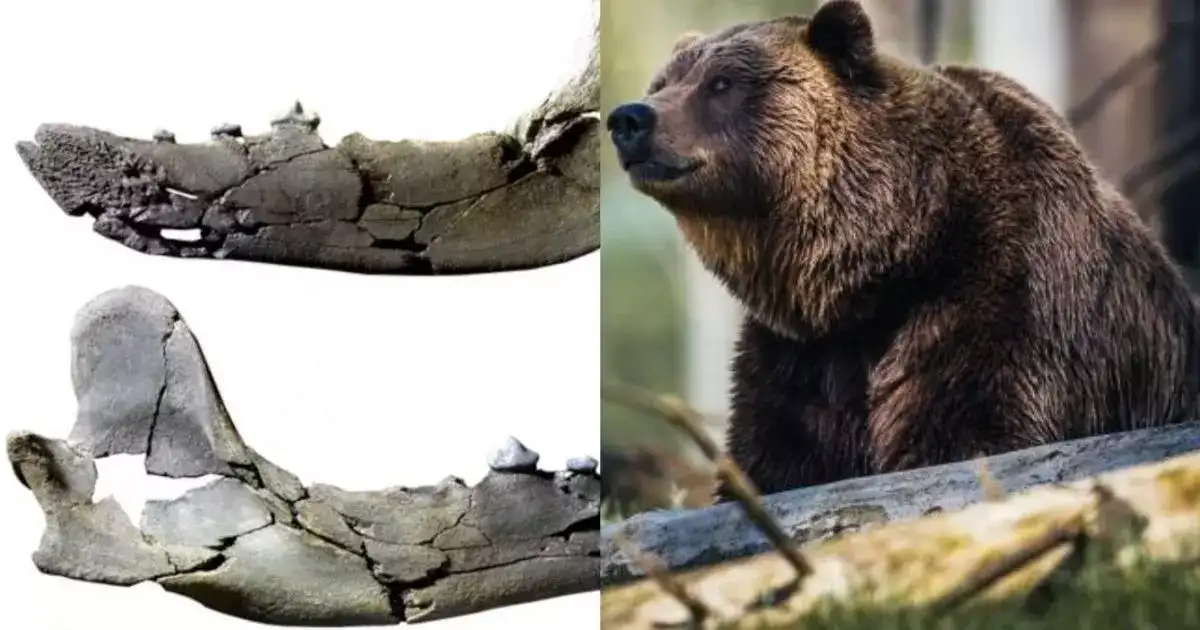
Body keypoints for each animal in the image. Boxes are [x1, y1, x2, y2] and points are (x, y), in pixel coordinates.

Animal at [605, 0, 1200, 502]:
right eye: (664, 81)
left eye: (722, 82)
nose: (630, 118)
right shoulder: (801, 356)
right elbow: (776, 456)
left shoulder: (1004, 295)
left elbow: (970, 428)